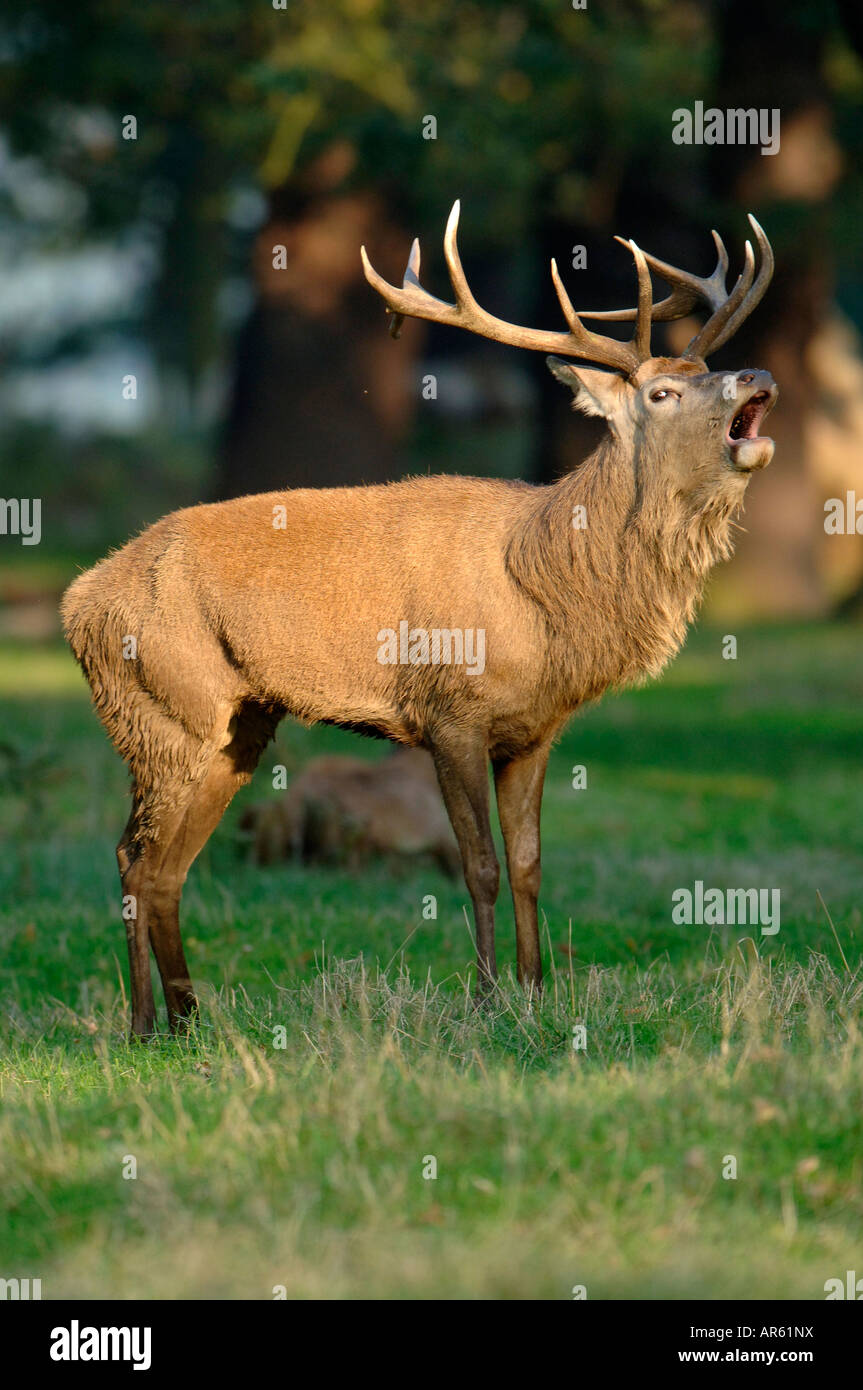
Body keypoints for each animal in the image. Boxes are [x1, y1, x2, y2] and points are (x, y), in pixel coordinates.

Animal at [62, 201, 777, 1037]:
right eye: (662, 393)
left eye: (705, 373)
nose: (757, 375)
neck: (543, 590)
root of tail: (77, 603)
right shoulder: (448, 710)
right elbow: (480, 865)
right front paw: (487, 1000)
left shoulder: (533, 730)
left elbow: (529, 863)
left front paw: (537, 993)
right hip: (162, 707)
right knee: (133, 858)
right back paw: (143, 1022)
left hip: (234, 723)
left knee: (165, 866)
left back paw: (187, 1019)